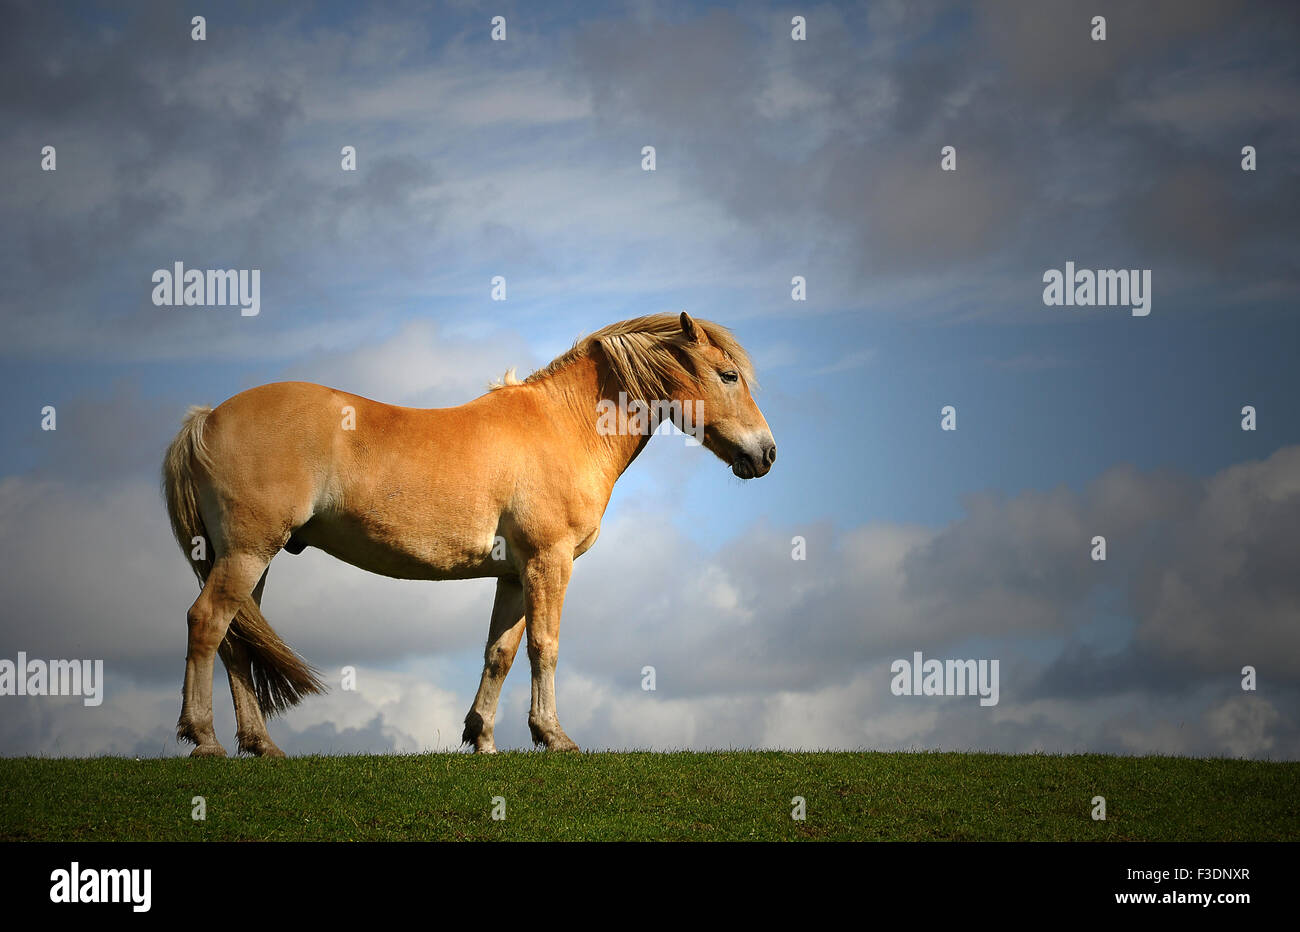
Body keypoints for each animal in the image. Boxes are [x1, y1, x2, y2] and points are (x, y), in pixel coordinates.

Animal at [162, 312, 776, 756]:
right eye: (727, 376)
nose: (767, 454)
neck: (563, 425)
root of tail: (207, 418)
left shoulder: (514, 573)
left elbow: (499, 652)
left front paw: (482, 738)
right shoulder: (549, 561)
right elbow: (545, 646)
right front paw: (553, 736)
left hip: (249, 558)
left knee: (237, 640)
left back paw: (260, 745)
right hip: (248, 551)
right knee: (207, 622)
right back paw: (206, 741)